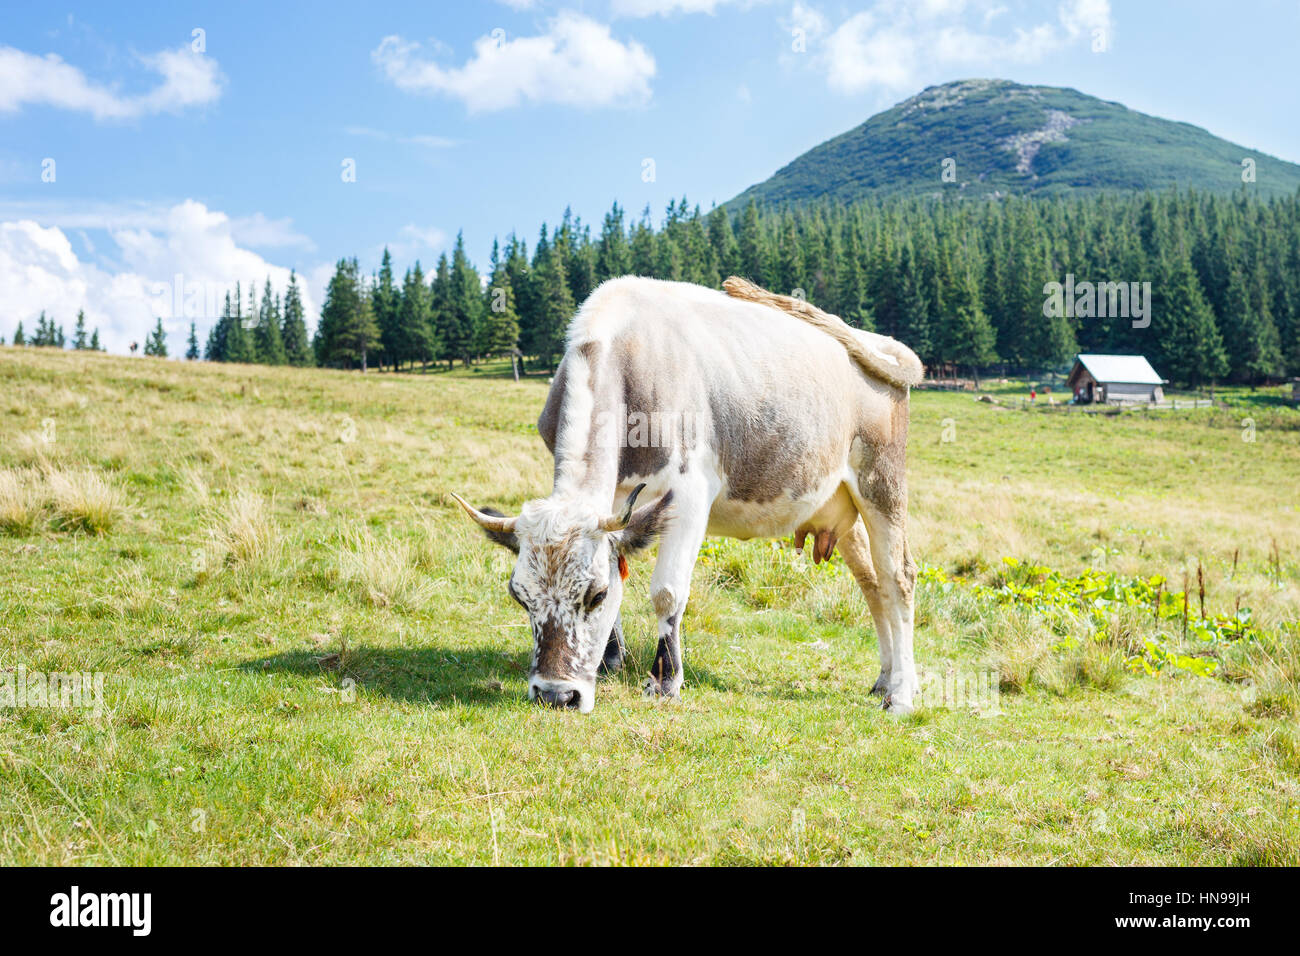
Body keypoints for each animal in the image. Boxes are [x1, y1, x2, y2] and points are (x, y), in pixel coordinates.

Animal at [452, 275, 924, 714]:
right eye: (519, 596)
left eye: (595, 595)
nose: (556, 695)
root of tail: (877, 341)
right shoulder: (617, 502)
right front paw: (610, 660)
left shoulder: (691, 491)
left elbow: (667, 591)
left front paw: (664, 681)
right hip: (842, 506)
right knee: (872, 584)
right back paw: (885, 678)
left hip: (881, 481)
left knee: (898, 577)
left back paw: (901, 694)